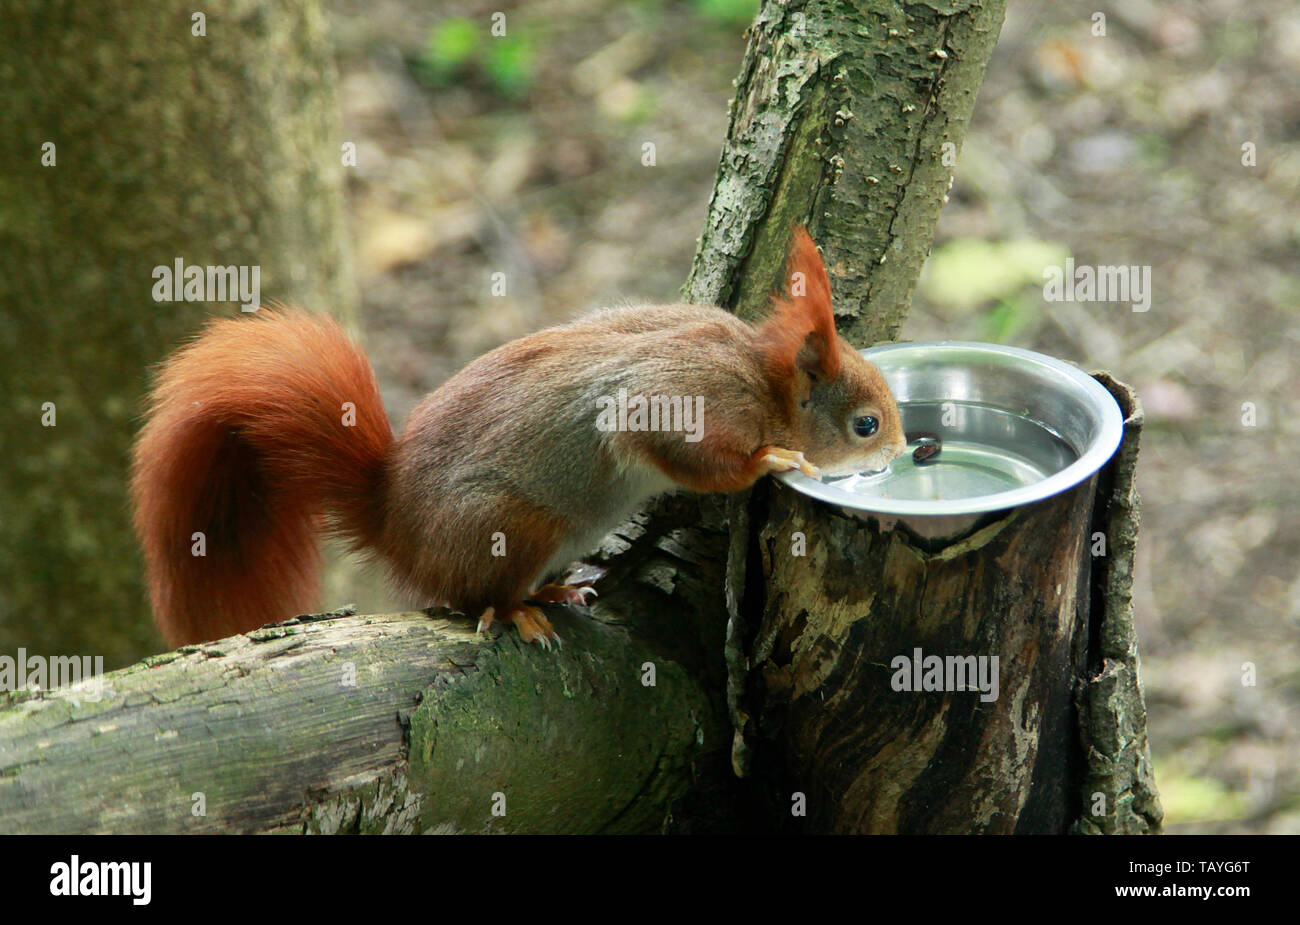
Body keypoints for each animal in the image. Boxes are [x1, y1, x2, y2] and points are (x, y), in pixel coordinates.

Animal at [130, 226, 906, 648]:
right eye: (864, 423)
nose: (905, 451)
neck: (761, 378)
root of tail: (395, 526)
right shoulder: (682, 397)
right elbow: (684, 453)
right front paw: (769, 458)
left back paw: (554, 592)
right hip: (512, 524)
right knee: (473, 595)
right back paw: (516, 610)